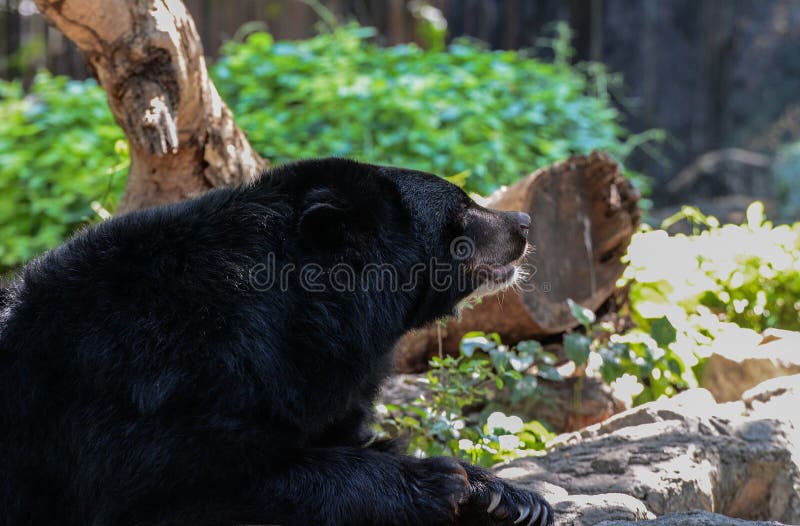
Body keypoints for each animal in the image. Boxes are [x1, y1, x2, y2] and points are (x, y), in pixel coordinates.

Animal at [0, 158, 553, 526]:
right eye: (462, 211)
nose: (523, 223)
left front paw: (509, 499)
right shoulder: (153, 388)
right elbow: (182, 490)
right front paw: (439, 483)